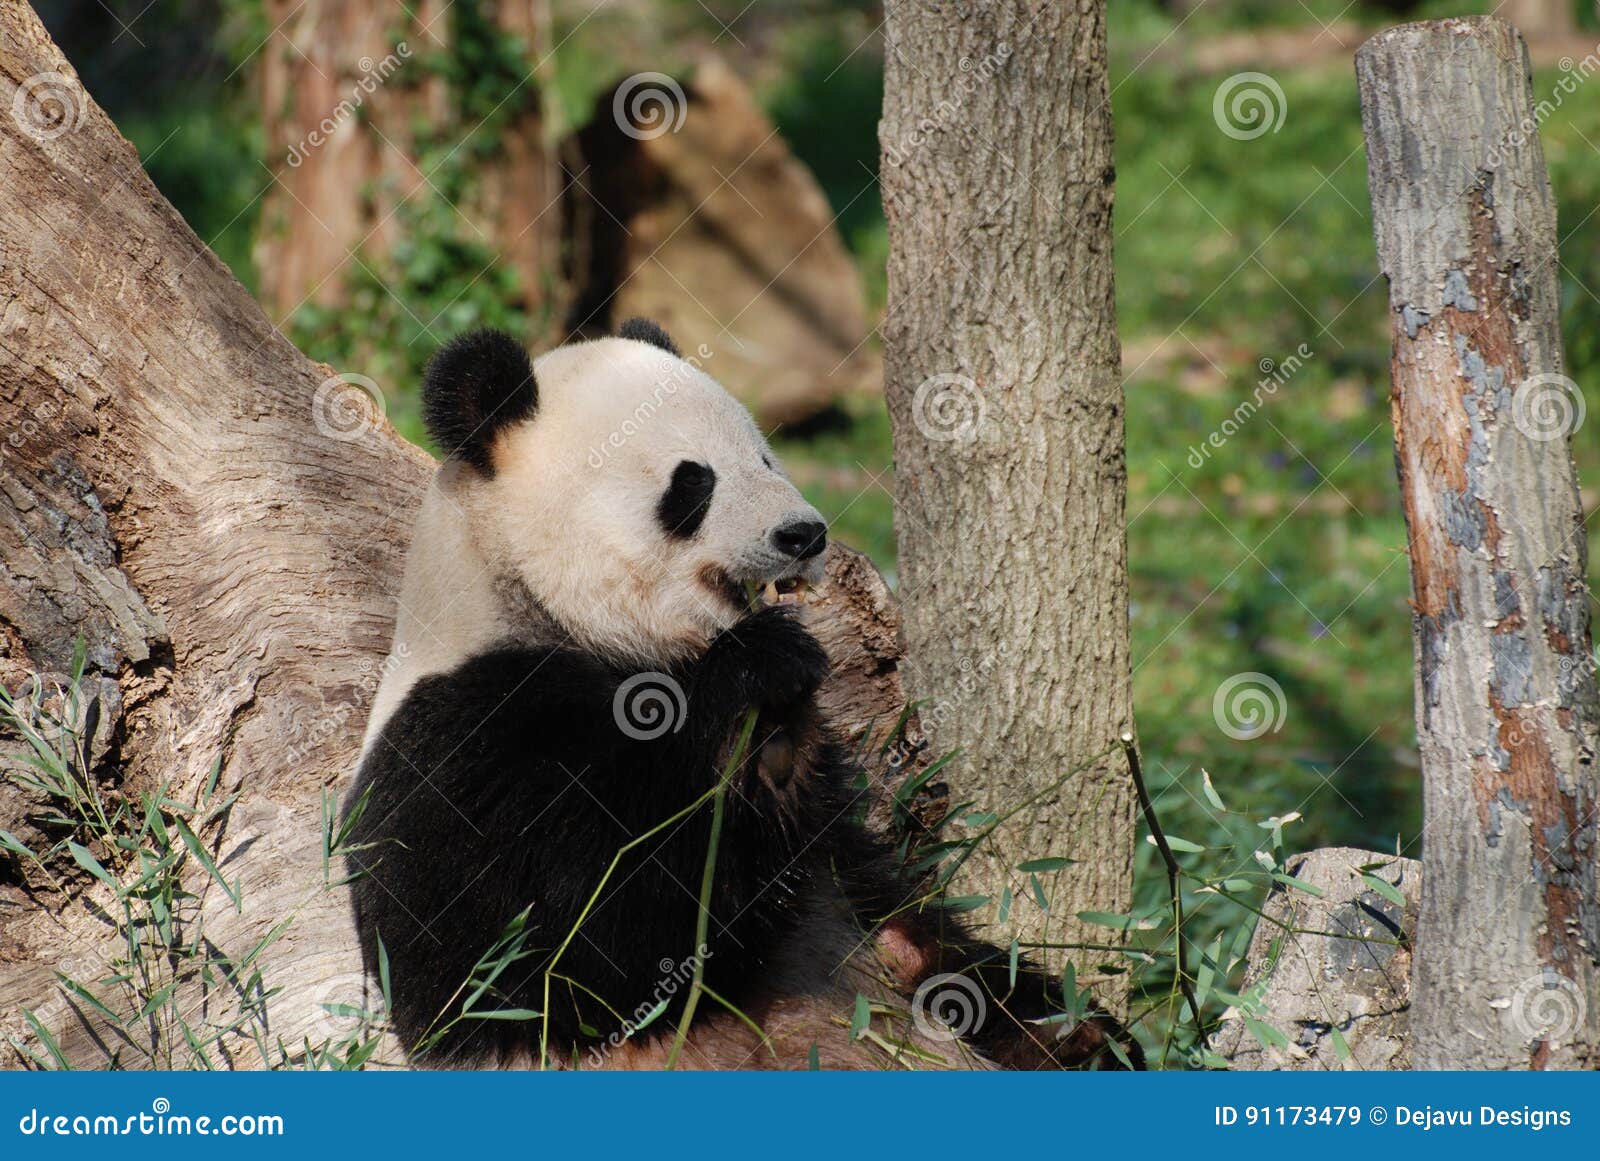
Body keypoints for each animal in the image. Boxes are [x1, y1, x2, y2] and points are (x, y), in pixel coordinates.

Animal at [344, 319, 1139, 1070]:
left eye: (763, 457)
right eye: (693, 482)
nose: (804, 533)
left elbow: (903, 926)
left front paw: (1069, 1025)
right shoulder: (472, 738)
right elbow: (579, 949)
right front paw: (760, 704)